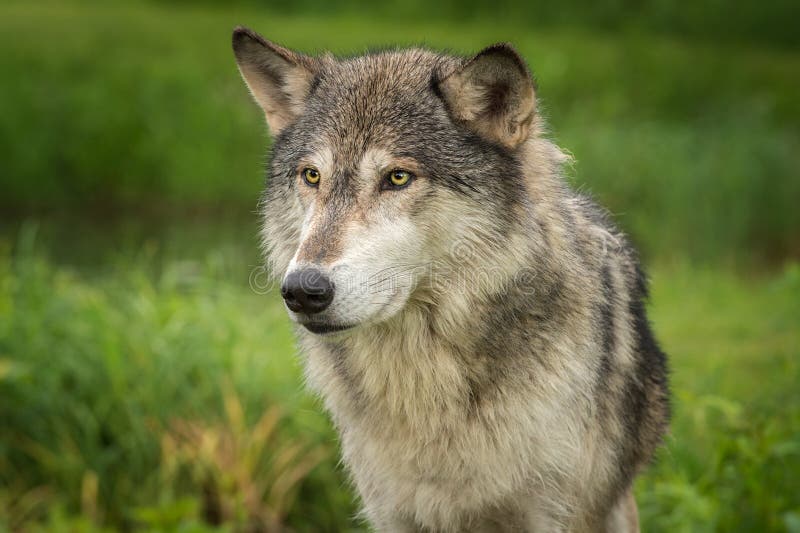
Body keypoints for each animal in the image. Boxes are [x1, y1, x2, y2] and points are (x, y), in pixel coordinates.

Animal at [232, 26, 669, 533]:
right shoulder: (392, 513)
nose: (303, 290)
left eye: (397, 178)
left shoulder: (551, 513)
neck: (428, 385)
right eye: (312, 176)